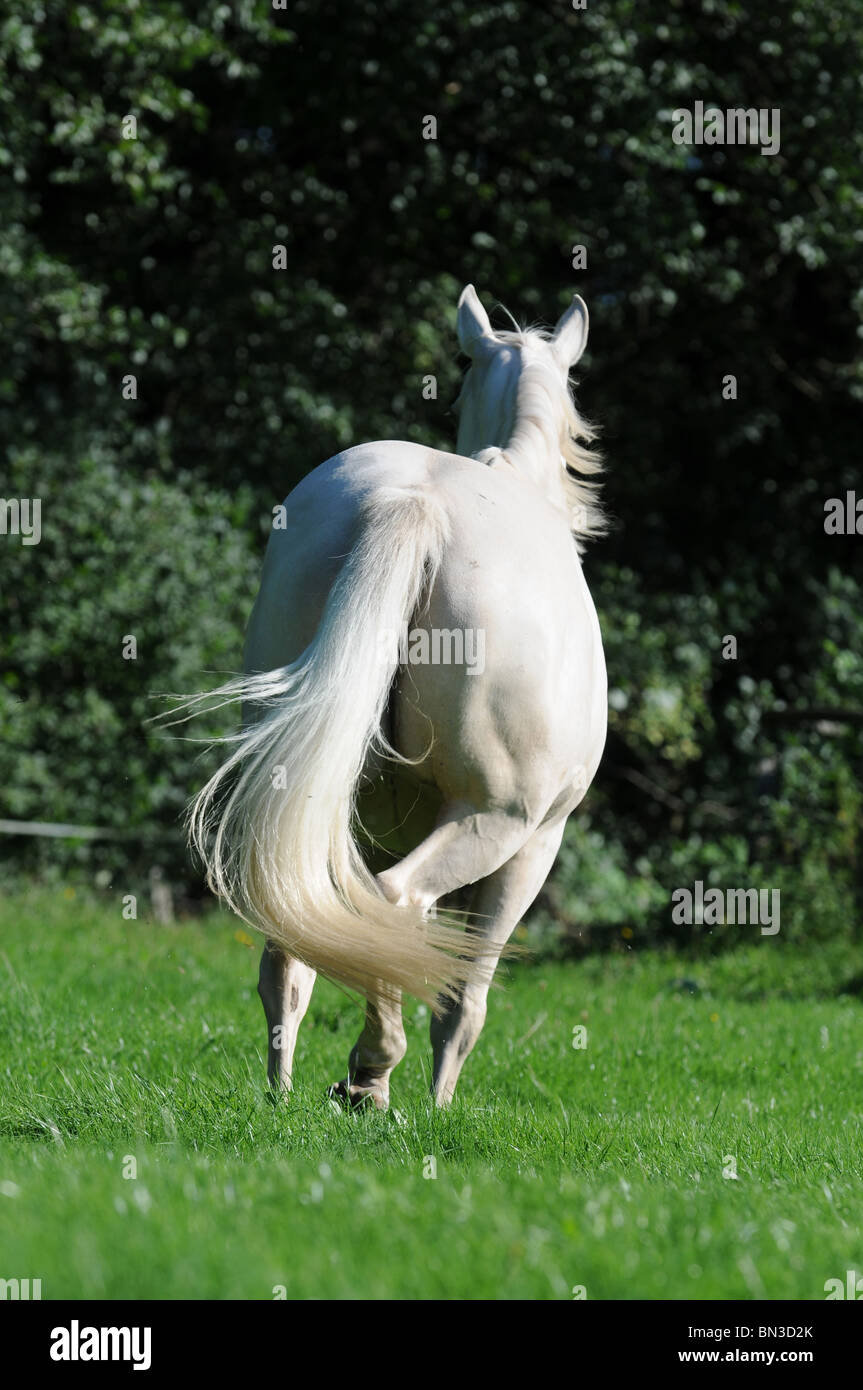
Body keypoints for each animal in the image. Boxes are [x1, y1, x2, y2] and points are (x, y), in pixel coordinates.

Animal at [187, 285, 608, 1108]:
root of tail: (413, 506)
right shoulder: (534, 844)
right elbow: (463, 992)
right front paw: (440, 1105)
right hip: (492, 822)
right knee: (396, 904)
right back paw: (371, 1076)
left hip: (316, 797)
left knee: (294, 943)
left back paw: (287, 1093)